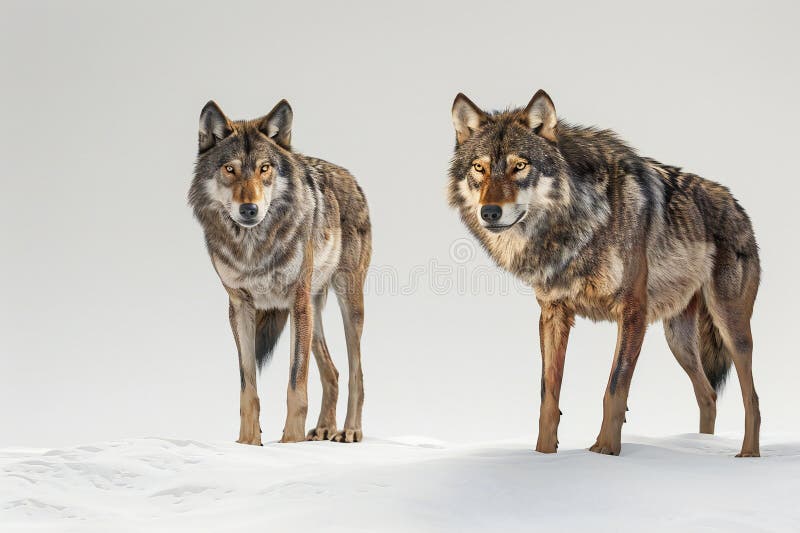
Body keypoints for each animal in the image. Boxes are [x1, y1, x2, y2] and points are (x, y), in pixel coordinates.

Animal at [189, 99, 371, 445]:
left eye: (264, 168)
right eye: (229, 169)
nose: (249, 209)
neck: (253, 248)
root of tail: (350, 177)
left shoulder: (296, 301)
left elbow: (296, 385)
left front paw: (291, 443)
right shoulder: (240, 307)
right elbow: (248, 387)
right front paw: (248, 442)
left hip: (345, 303)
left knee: (357, 371)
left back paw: (350, 429)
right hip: (312, 314)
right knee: (332, 371)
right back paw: (324, 427)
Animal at [448, 90, 761, 456]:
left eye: (520, 166)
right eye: (479, 167)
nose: (490, 212)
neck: (572, 224)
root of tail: (736, 205)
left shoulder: (633, 311)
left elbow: (614, 387)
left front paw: (605, 452)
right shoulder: (553, 313)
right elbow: (548, 395)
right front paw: (543, 455)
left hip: (730, 328)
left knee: (752, 398)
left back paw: (748, 454)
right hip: (678, 340)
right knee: (708, 395)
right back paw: (700, 446)